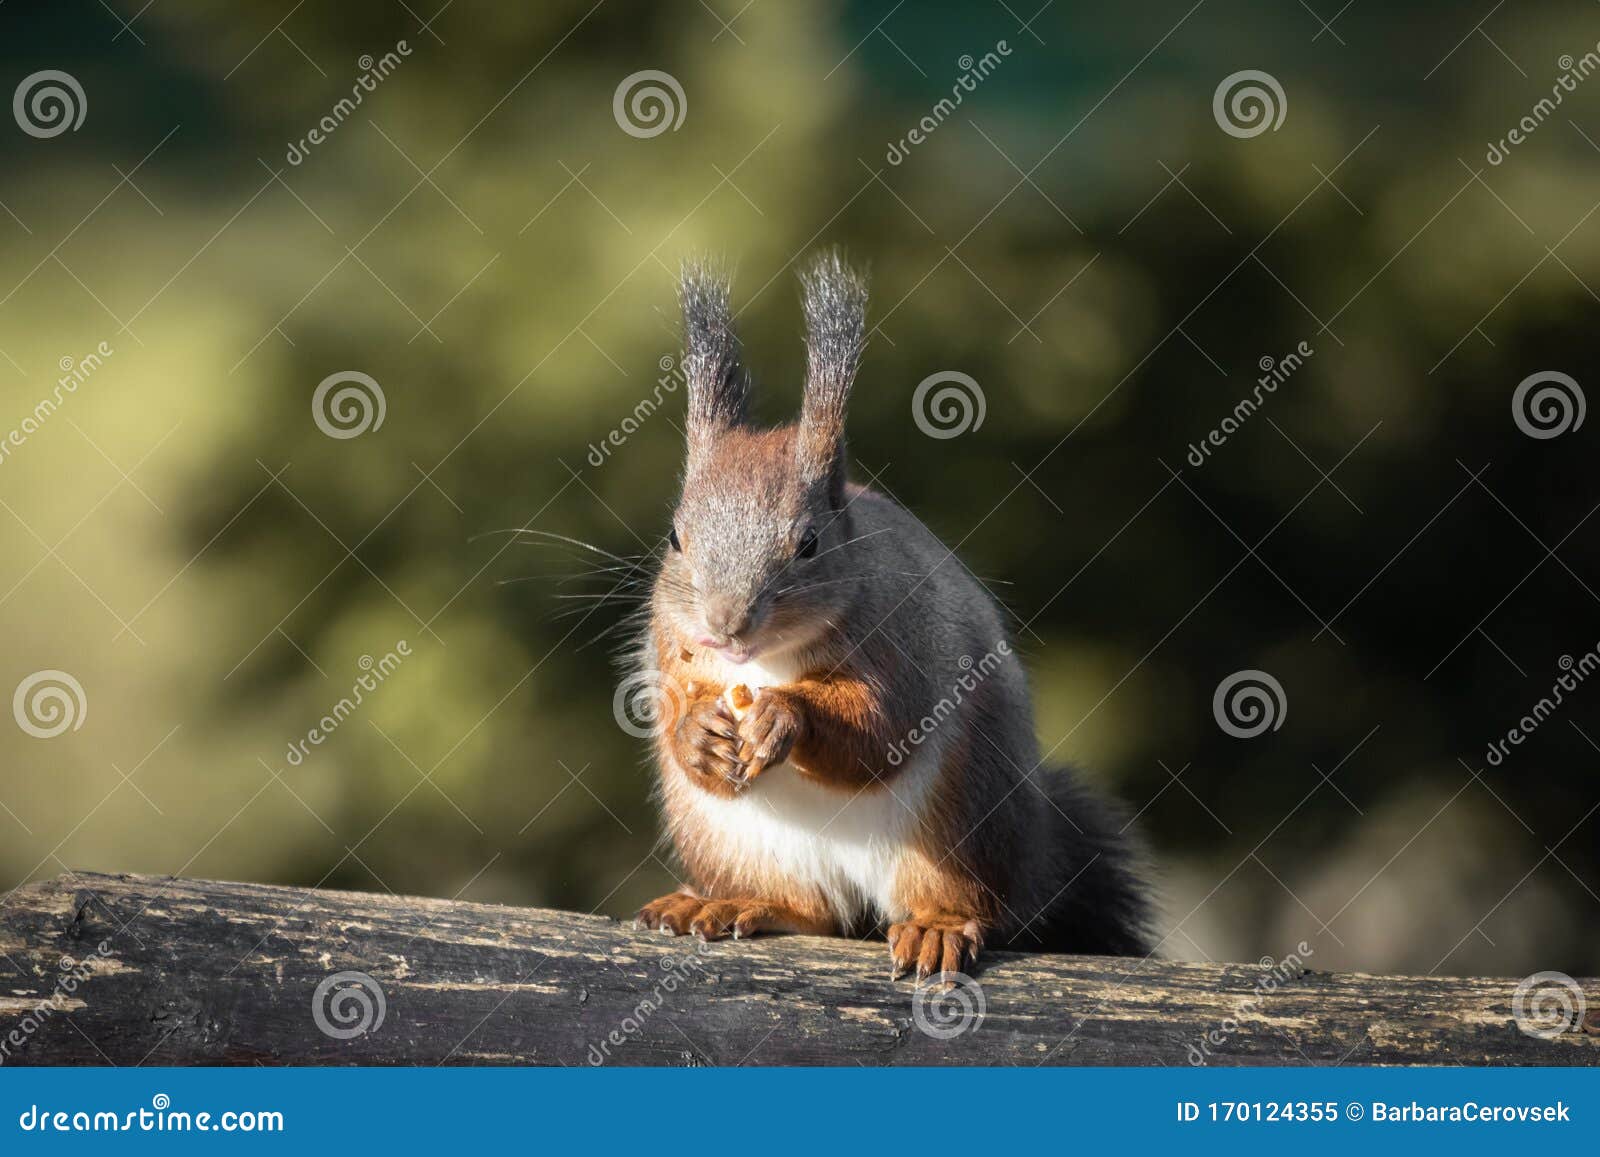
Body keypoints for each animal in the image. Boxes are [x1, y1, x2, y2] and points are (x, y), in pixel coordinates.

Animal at [633, 251, 1153, 981]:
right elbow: (673, 702)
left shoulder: (905, 643)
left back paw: (936, 928)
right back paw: (730, 902)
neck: (765, 662)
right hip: (729, 838)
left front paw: (784, 716)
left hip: (960, 819)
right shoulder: (670, 639)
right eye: (676, 537)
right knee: (810, 911)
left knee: (961, 901)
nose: (726, 623)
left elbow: (879, 731)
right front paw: (697, 733)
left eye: (809, 543)